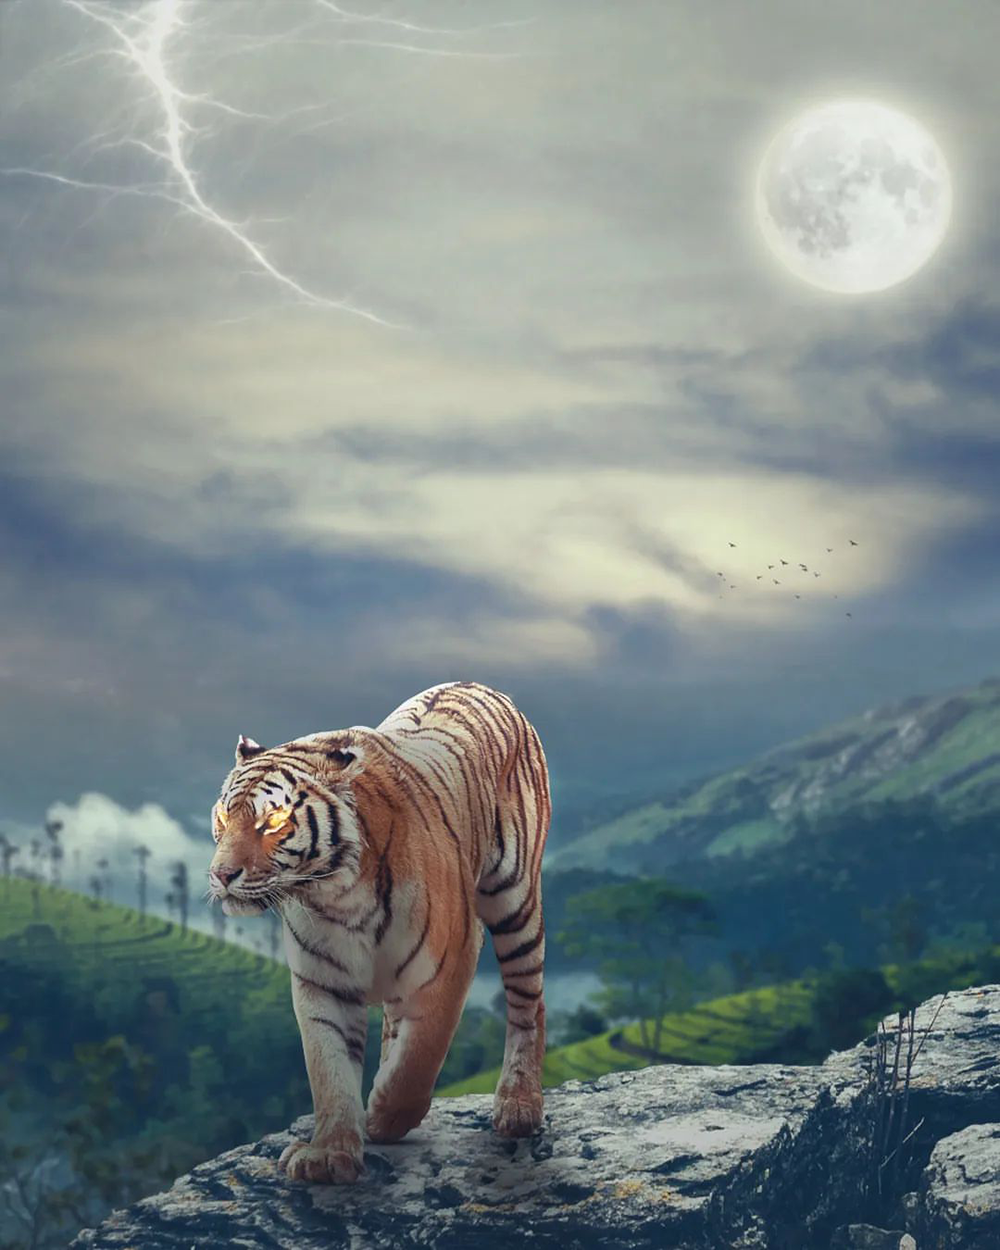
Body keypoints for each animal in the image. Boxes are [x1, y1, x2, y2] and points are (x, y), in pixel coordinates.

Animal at [208, 680, 550, 1185]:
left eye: (273, 822)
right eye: (222, 819)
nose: (221, 875)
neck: (335, 895)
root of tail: (478, 684)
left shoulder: (449, 963)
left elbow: (419, 1056)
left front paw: (387, 1118)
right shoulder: (321, 982)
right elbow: (329, 1068)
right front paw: (328, 1152)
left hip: (515, 901)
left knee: (528, 1001)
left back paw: (519, 1106)